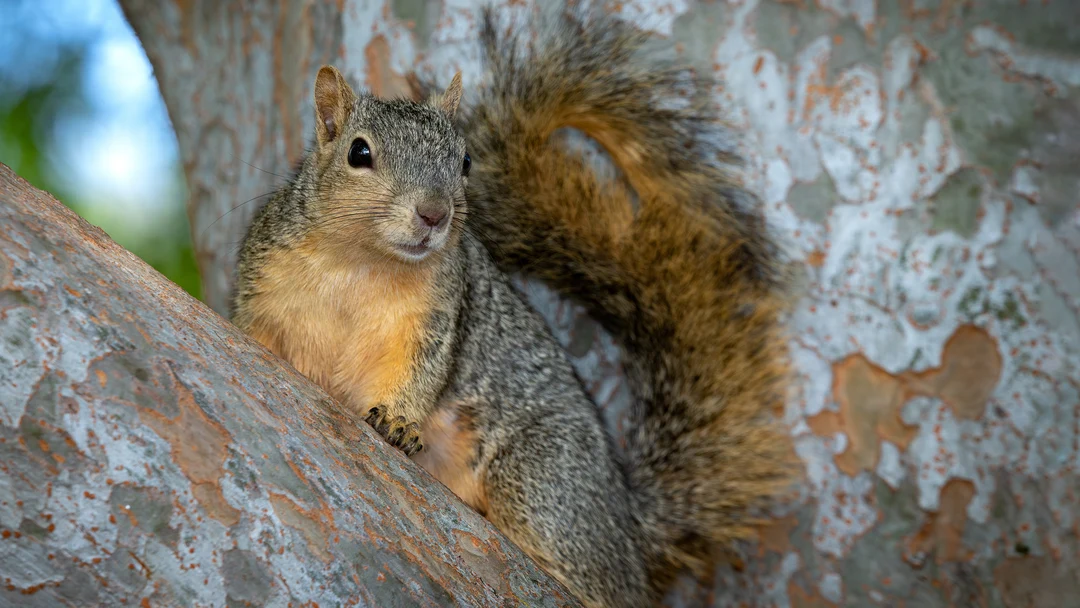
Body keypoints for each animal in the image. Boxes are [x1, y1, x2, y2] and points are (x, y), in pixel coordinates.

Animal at [232, 6, 795, 608]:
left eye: (464, 160)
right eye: (359, 153)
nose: (435, 214)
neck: (361, 265)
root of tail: (625, 530)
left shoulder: (436, 317)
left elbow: (420, 373)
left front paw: (400, 424)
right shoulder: (264, 287)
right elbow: (252, 333)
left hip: (539, 479)